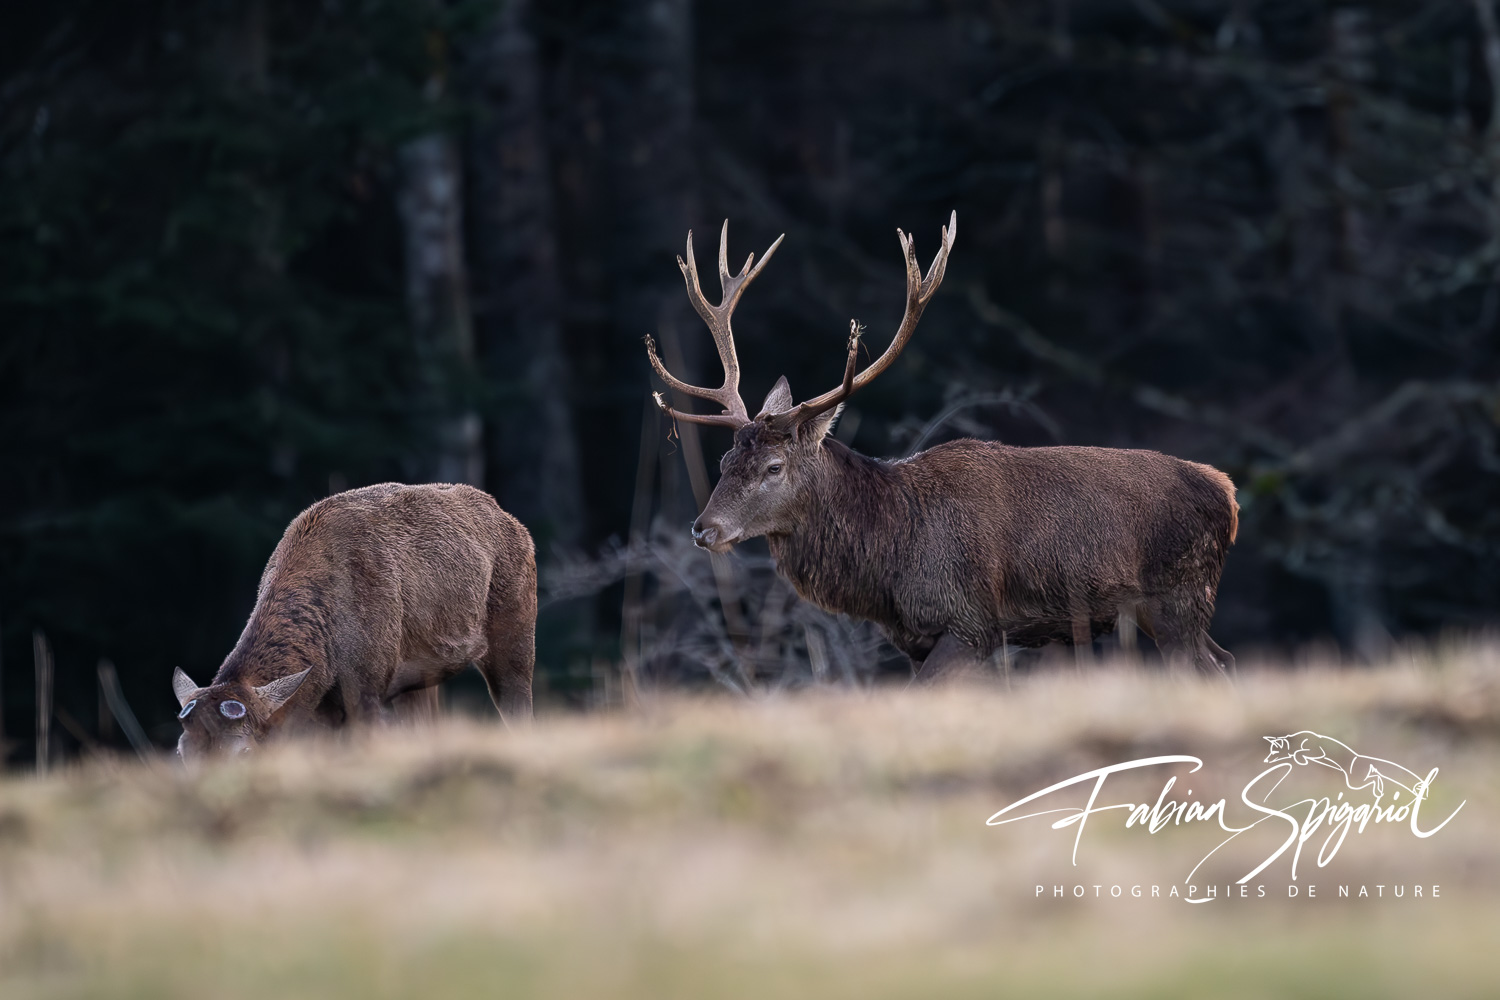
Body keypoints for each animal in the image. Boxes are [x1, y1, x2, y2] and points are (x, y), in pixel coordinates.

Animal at [171, 482, 535, 760]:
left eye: (243, 751)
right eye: (182, 752)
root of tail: (517, 524)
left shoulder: (368, 687)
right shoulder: (319, 709)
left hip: (517, 636)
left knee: (518, 708)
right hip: (420, 677)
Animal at [644, 212, 1238, 681]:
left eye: (772, 467)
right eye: (724, 460)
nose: (703, 528)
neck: (890, 560)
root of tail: (1228, 496)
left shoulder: (970, 621)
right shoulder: (917, 638)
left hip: (1179, 593)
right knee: (1226, 659)